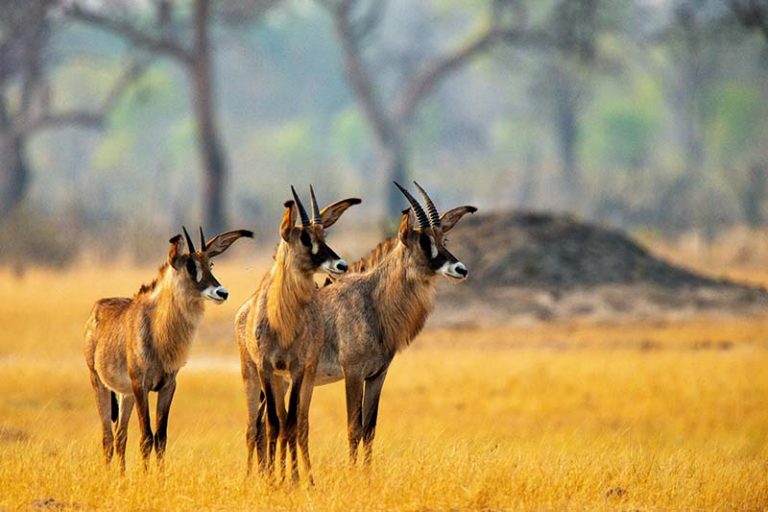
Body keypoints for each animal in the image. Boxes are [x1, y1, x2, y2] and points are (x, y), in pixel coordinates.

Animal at [84, 227, 252, 472]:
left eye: (210, 264)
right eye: (190, 266)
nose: (222, 292)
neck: (157, 330)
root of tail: (96, 310)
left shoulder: (167, 386)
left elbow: (161, 438)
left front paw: (159, 476)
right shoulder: (141, 386)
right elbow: (146, 437)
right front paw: (146, 477)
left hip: (126, 394)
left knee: (120, 435)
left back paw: (121, 476)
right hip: (99, 383)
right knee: (107, 436)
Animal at [235, 186, 360, 484]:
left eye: (323, 233)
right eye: (304, 238)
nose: (340, 264)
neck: (282, 320)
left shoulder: (298, 369)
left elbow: (290, 424)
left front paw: (290, 479)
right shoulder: (265, 368)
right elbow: (272, 424)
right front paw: (272, 480)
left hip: (299, 379)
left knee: (298, 423)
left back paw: (306, 479)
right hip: (254, 376)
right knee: (255, 427)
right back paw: (255, 475)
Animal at [251, 181, 475, 465]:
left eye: (442, 239)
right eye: (424, 242)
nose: (460, 269)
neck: (373, 300)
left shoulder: (378, 375)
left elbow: (369, 429)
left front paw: (366, 472)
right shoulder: (353, 373)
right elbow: (353, 428)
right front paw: (353, 471)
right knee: (261, 424)